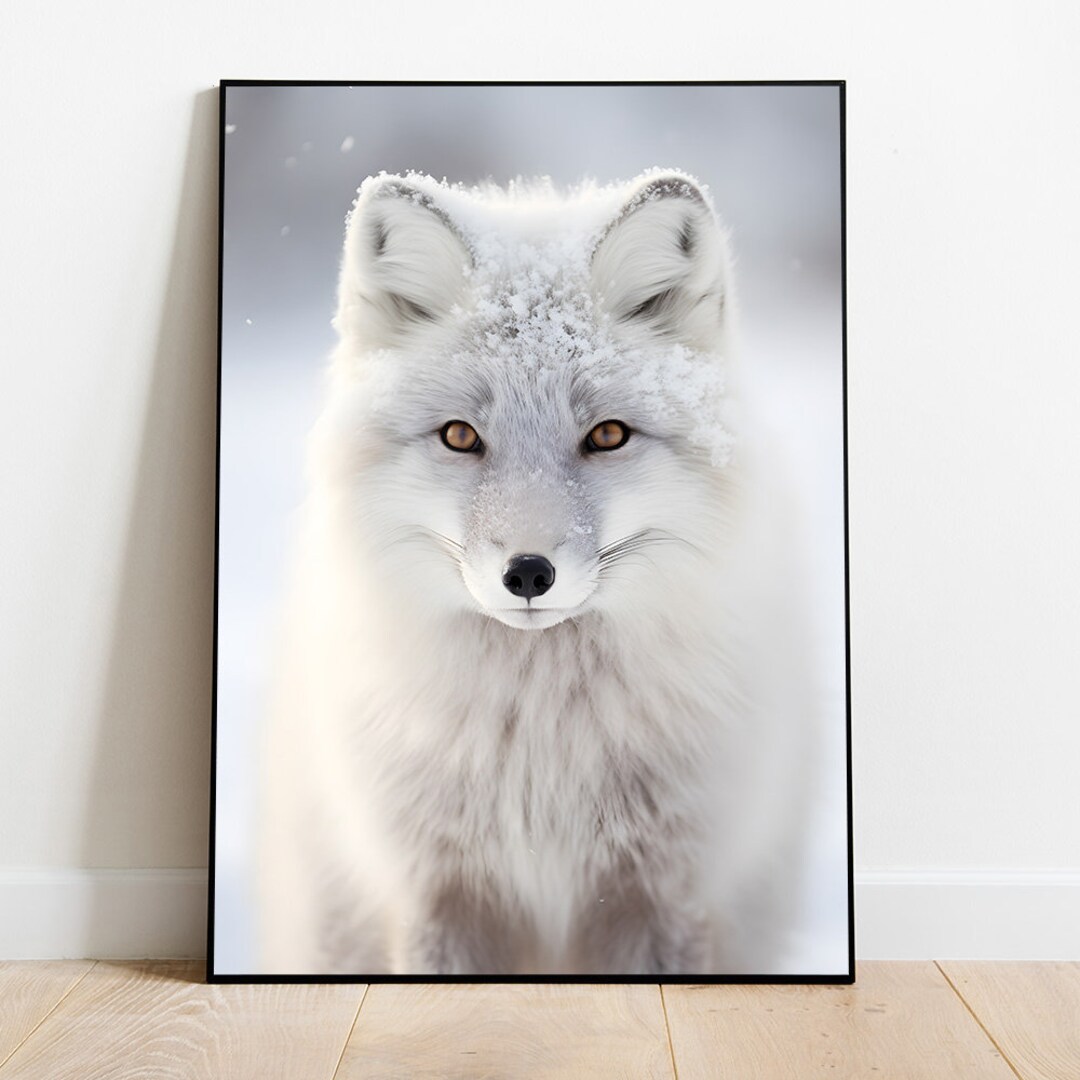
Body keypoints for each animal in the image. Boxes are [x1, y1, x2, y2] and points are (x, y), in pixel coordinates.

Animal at [257, 169, 817, 975]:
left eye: (607, 435)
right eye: (461, 437)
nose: (528, 574)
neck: (541, 757)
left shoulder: (663, 893)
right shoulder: (438, 892)